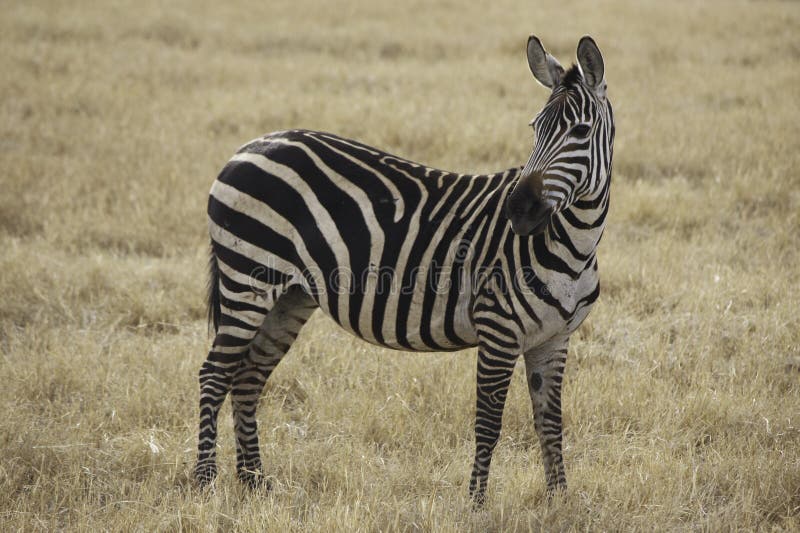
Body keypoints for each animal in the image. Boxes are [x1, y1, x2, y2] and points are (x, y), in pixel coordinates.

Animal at [195, 34, 614, 505]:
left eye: (580, 132)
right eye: (534, 129)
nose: (518, 211)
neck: (574, 242)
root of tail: (246, 148)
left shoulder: (554, 339)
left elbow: (551, 424)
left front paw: (559, 502)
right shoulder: (498, 330)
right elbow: (489, 425)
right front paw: (476, 504)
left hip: (289, 297)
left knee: (248, 377)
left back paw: (254, 481)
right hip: (246, 279)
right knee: (214, 374)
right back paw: (205, 482)